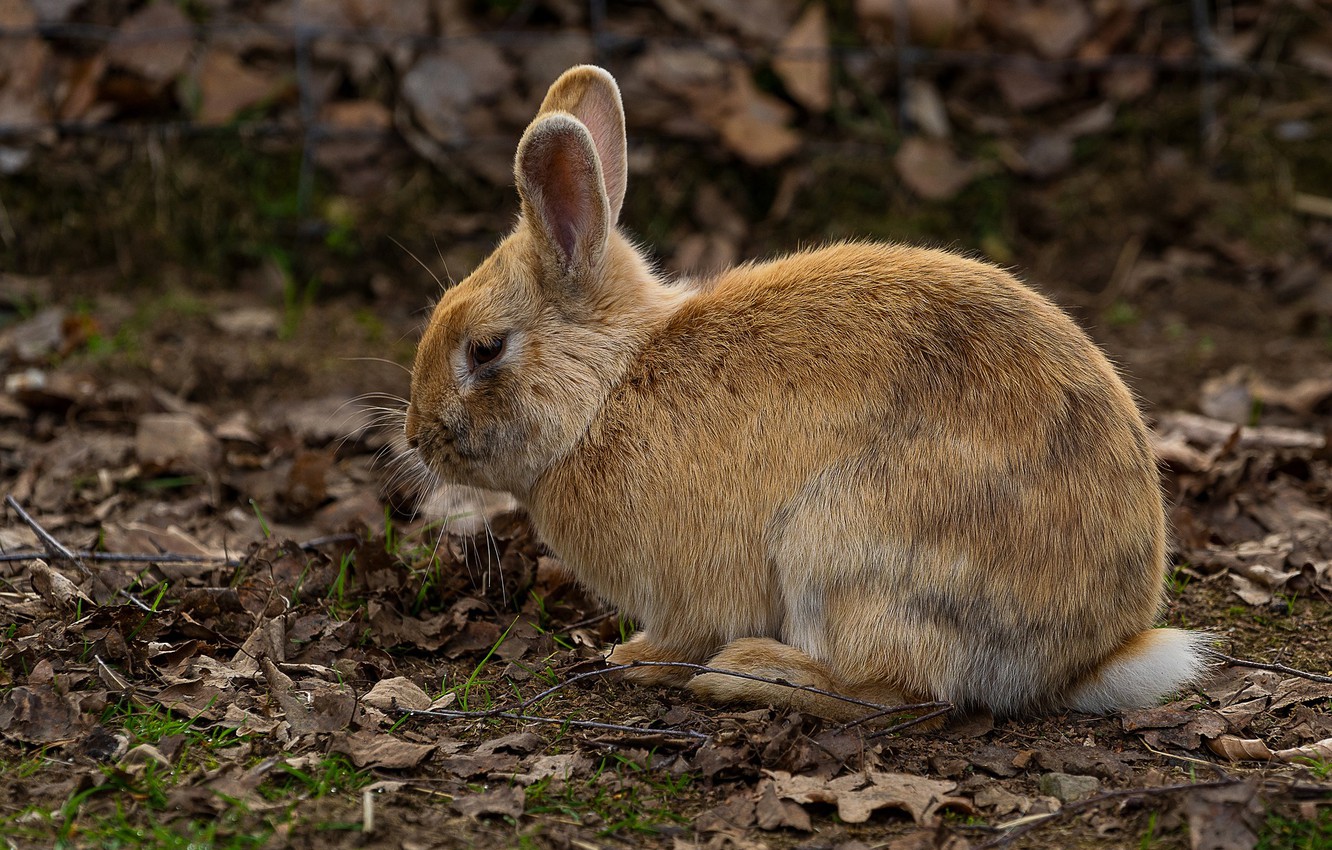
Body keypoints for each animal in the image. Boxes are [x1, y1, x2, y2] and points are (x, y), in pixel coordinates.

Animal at [404, 64, 1207, 720]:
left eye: (484, 349)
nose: (417, 437)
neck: (606, 388)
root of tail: (1088, 658)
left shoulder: (688, 586)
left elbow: (681, 633)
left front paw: (630, 659)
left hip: (837, 548)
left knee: (892, 694)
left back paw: (746, 673)